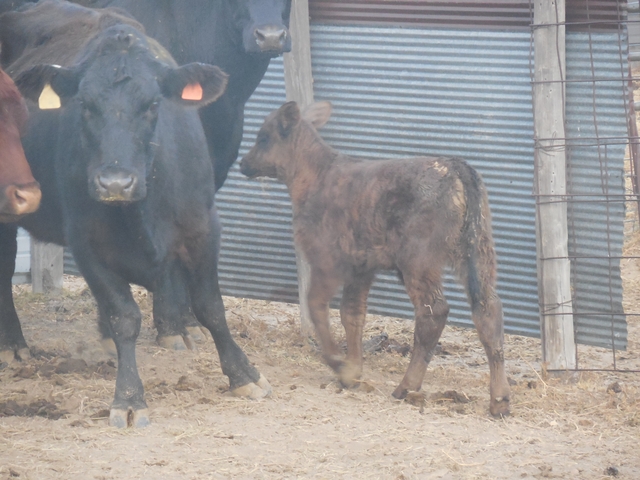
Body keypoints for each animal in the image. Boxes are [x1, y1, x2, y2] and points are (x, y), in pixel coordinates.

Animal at [240, 101, 511, 417]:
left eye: (263, 137)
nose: (243, 163)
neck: (316, 175)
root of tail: (457, 167)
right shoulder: (361, 268)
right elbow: (352, 313)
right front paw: (354, 370)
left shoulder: (327, 260)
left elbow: (317, 304)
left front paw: (339, 364)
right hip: (478, 250)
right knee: (488, 308)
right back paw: (499, 399)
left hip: (419, 260)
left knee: (435, 312)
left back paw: (406, 386)